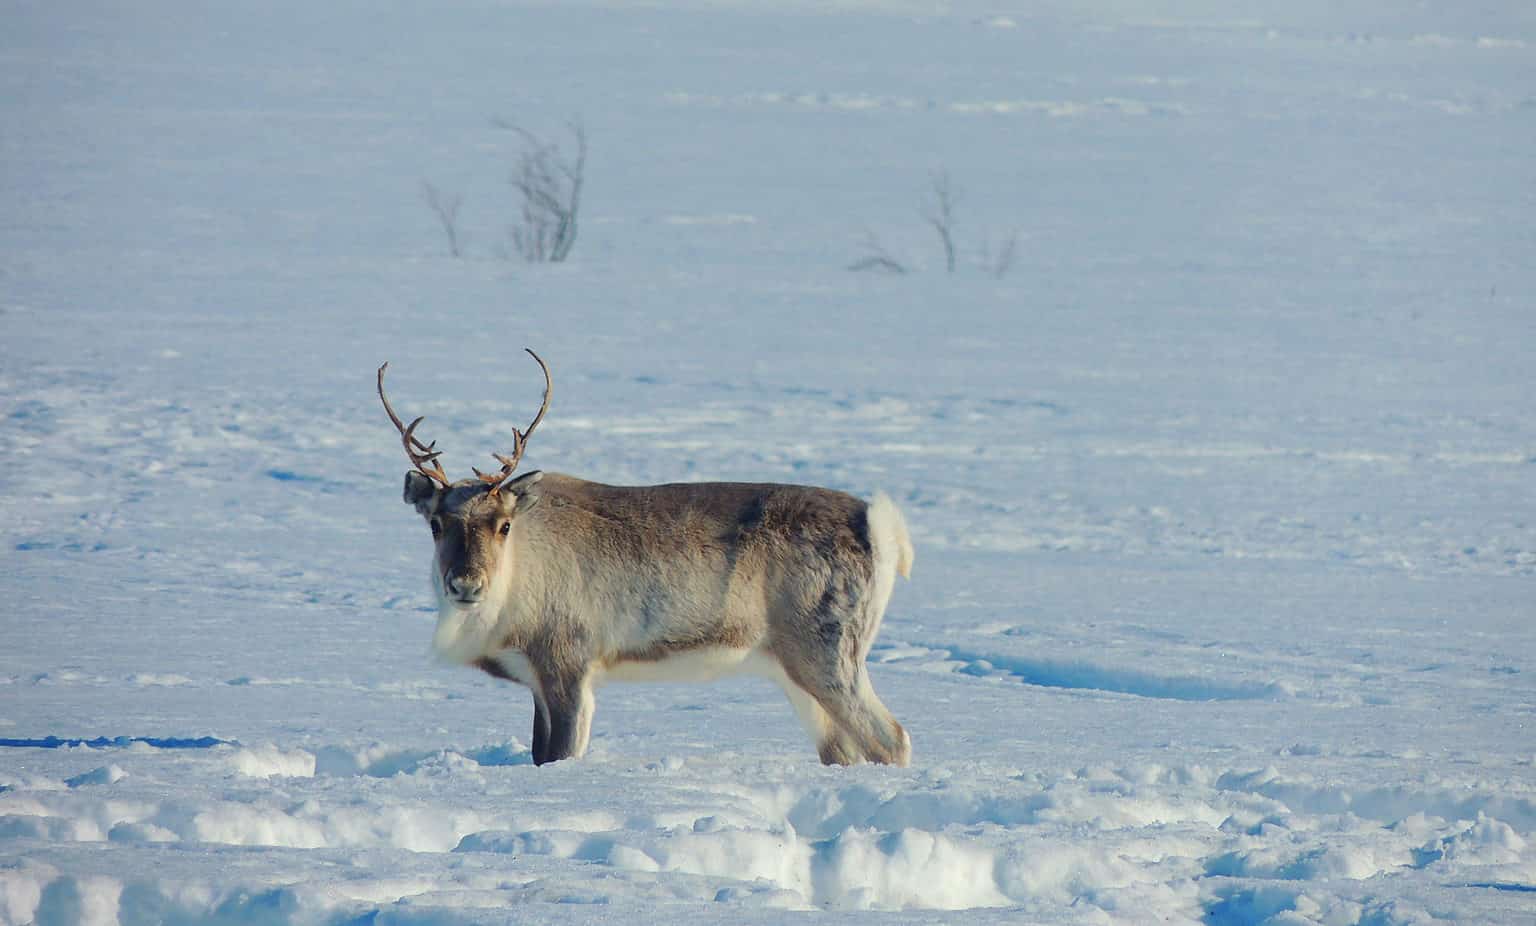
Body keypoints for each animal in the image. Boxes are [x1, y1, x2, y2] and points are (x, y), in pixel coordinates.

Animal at [378, 350, 914, 767]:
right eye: (435, 524)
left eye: (504, 525)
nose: (466, 585)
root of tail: (882, 528)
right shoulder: (535, 679)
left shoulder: (570, 660)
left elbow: (561, 754)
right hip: (793, 667)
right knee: (843, 750)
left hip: (828, 652)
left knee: (892, 739)